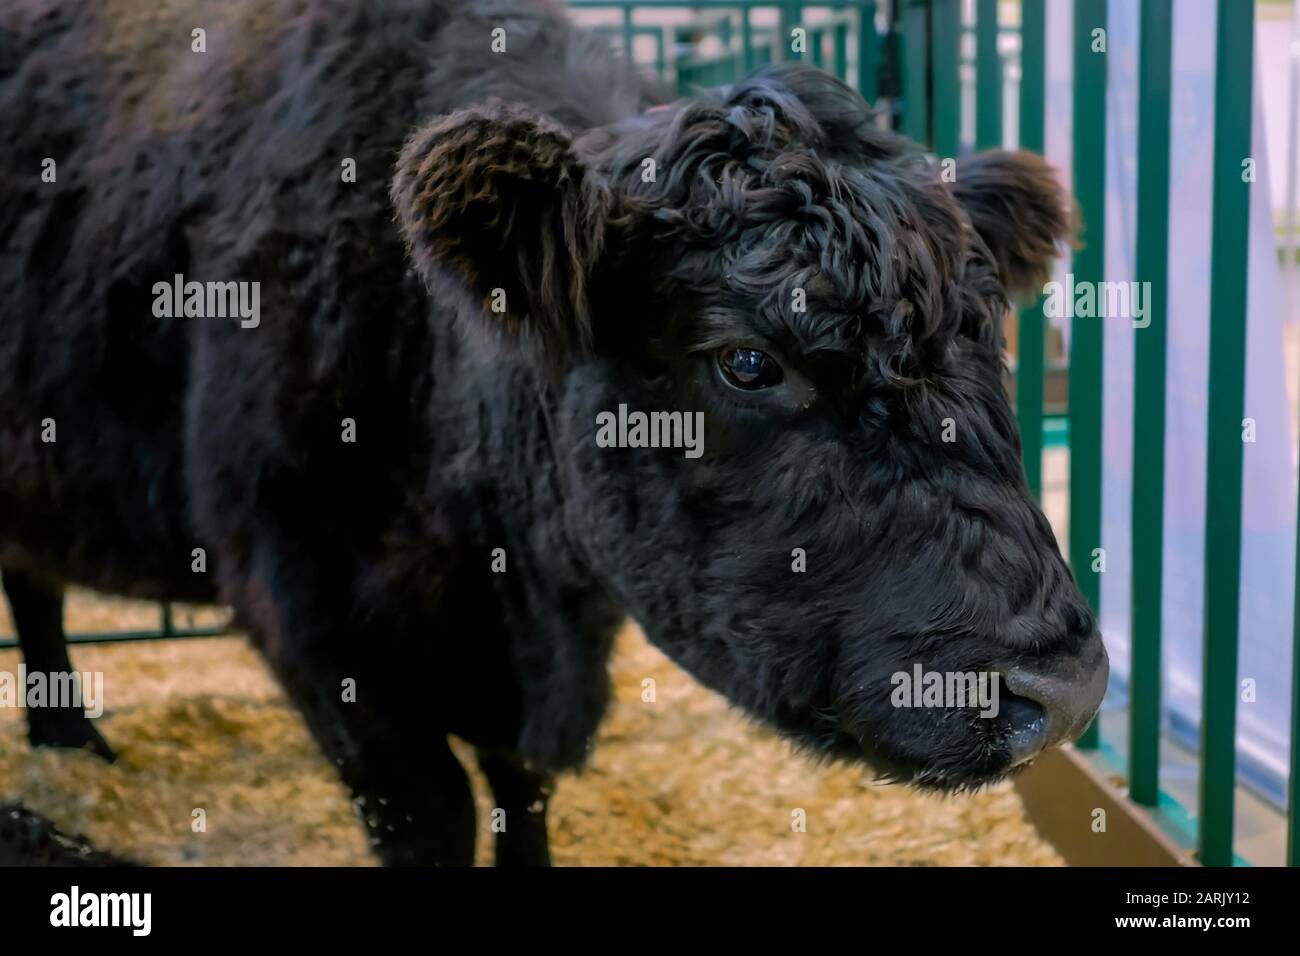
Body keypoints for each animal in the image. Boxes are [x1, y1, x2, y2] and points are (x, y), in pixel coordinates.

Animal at [0, 0, 1107, 866]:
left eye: (988, 328)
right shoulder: (314, 620)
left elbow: (517, 787)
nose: (1061, 688)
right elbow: (437, 815)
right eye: (748, 361)